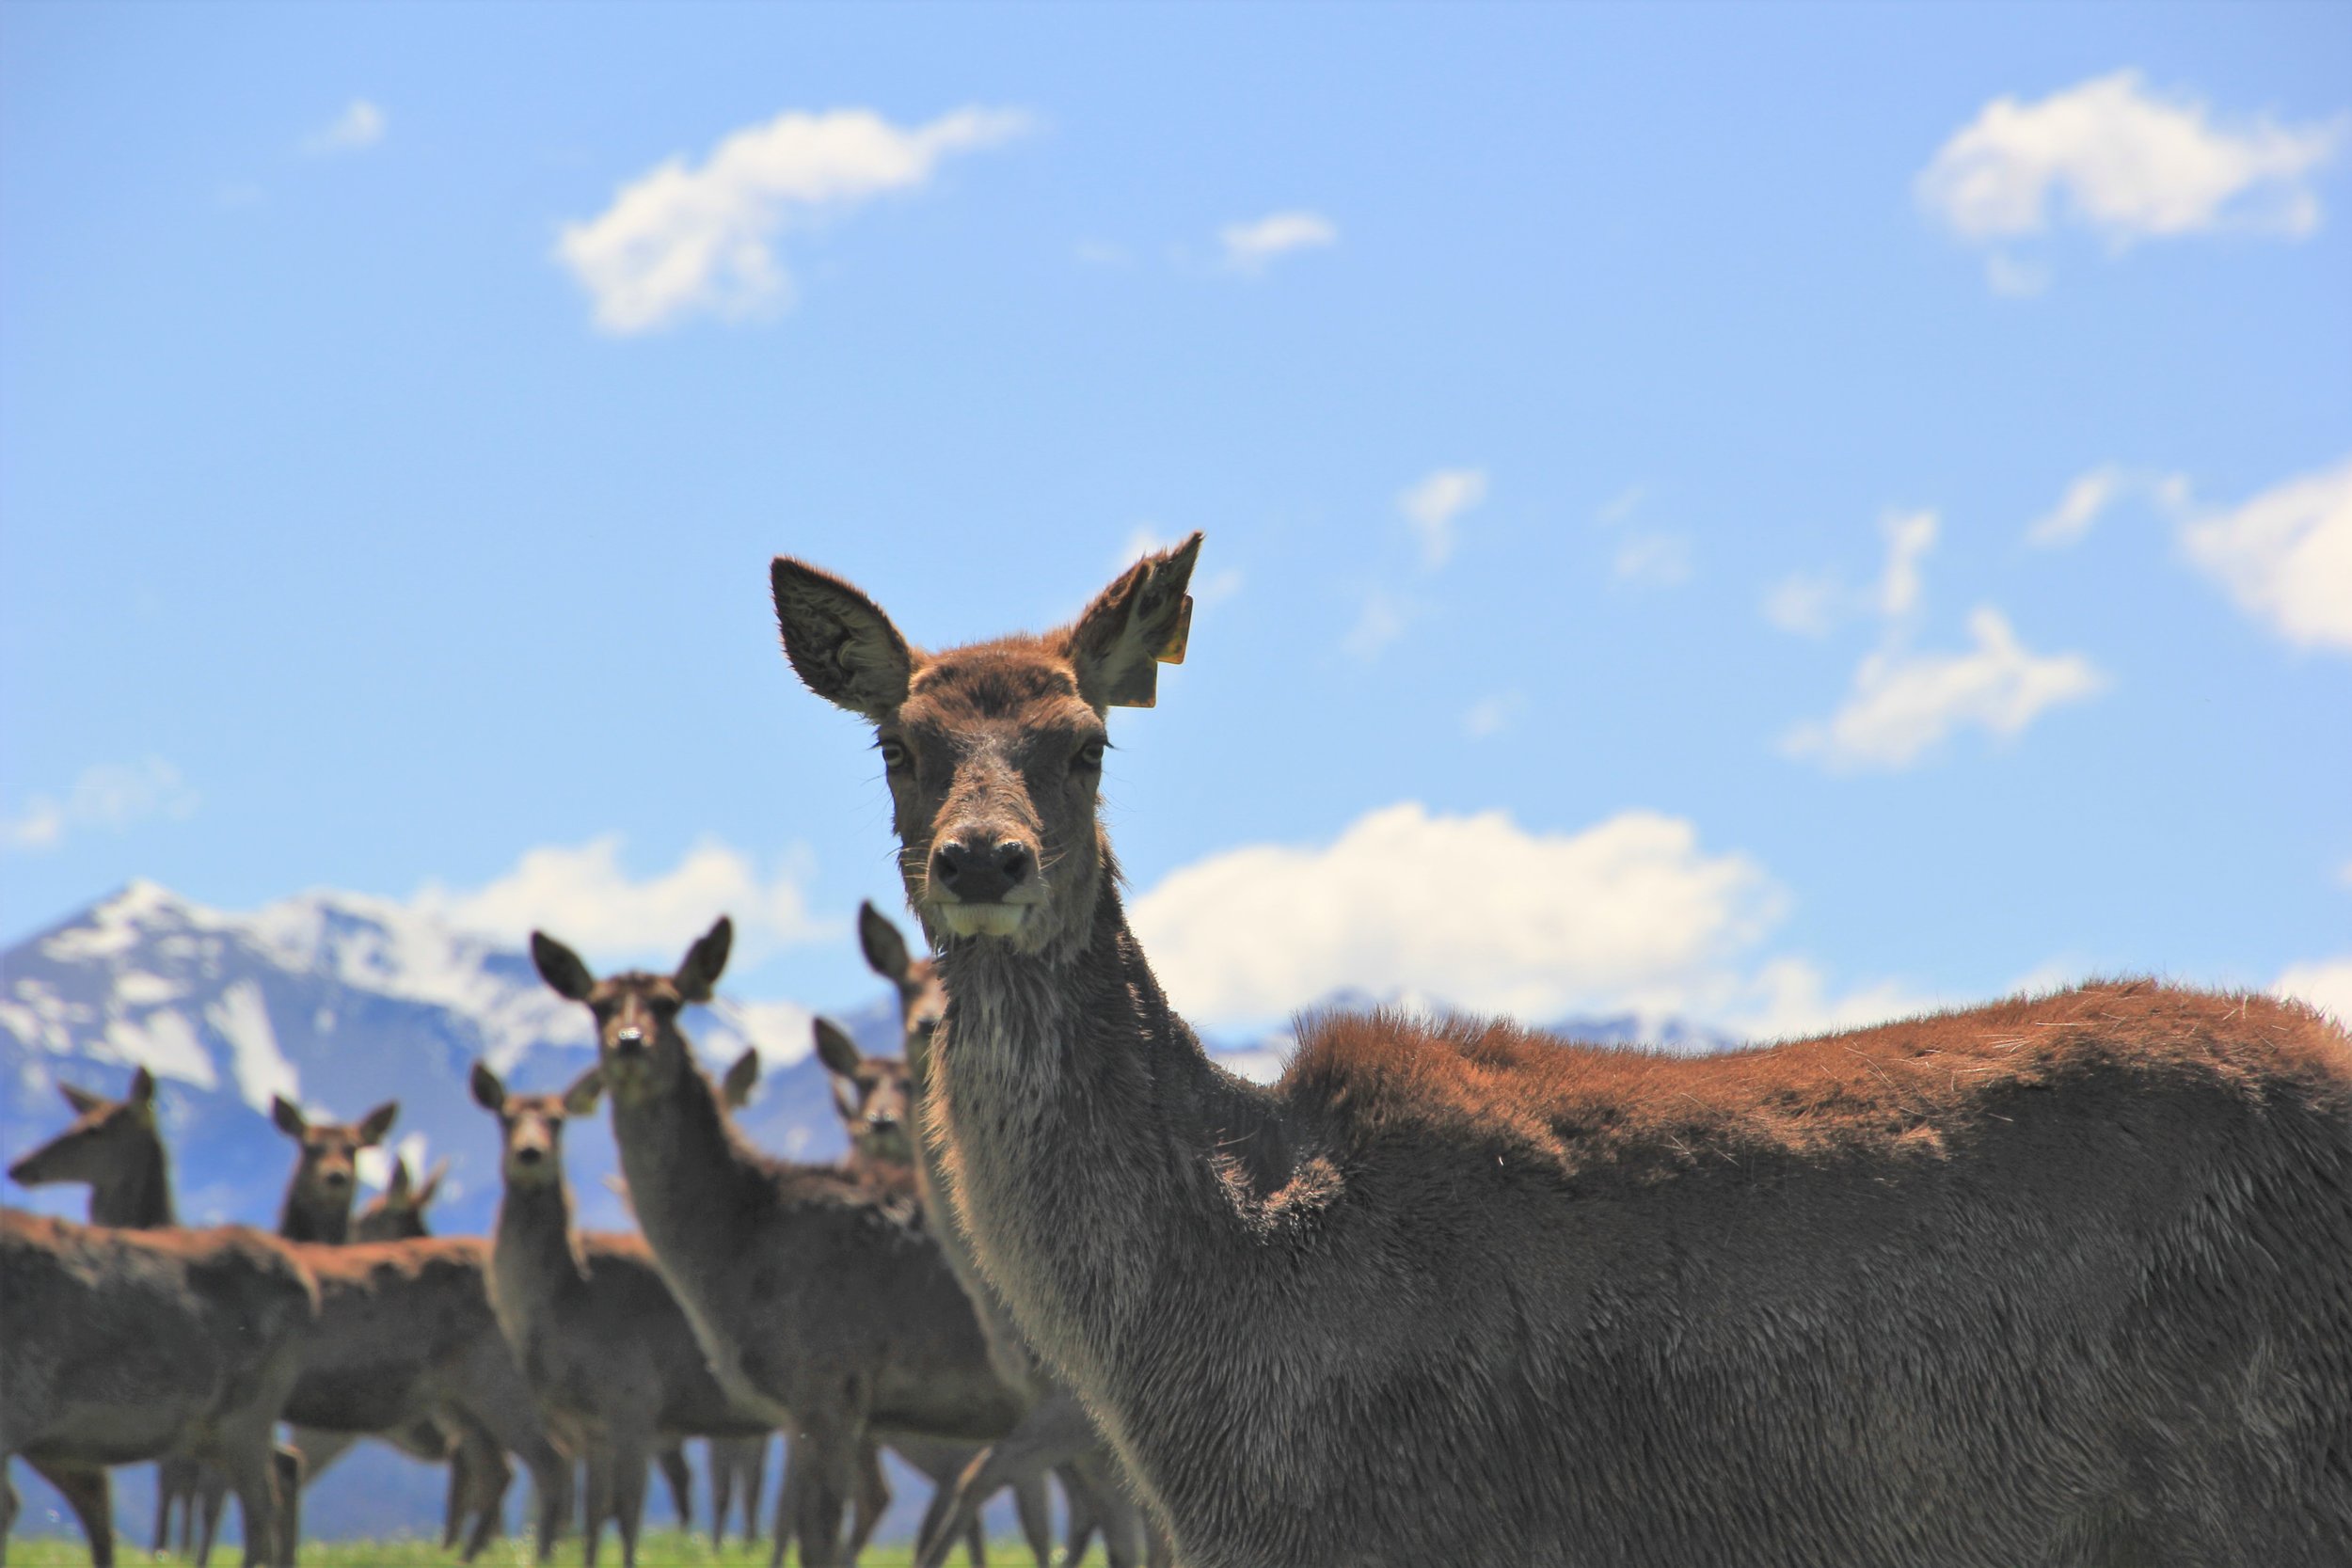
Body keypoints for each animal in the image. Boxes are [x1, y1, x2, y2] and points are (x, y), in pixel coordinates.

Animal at [7, 1070, 311, 1566]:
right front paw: (168, 1549)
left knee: (258, 1487)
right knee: (280, 1467)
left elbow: (175, 1482)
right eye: (77, 1120)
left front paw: (165, 1550)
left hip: (244, 1412)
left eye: (95, 1130)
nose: (21, 1166)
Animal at [468, 1060, 774, 1567]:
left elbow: (626, 1512)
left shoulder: (633, 1398)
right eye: (506, 1118)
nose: (530, 1153)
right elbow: (596, 1512)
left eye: (557, 1120)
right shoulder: (589, 1424)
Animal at [527, 922, 1030, 1568]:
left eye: (670, 1003)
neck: (740, 1248)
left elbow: (817, 1530)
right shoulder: (807, 1407)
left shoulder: (827, 1379)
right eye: (597, 1006)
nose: (630, 1043)